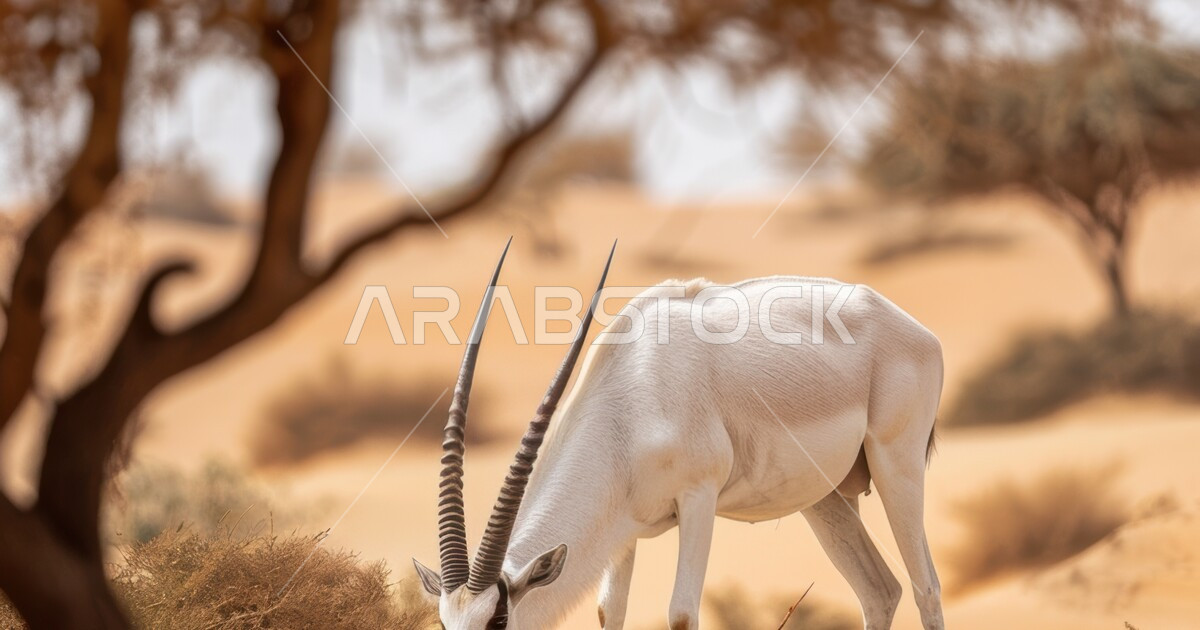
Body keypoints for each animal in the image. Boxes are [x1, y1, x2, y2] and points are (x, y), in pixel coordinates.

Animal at [413, 240, 944, 630]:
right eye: (443, 623)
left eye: (498, 620)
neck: (633, 391)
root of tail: (912, 329)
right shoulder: (623, 531)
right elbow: (610, 611)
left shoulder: (698, 499)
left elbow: (683, 613)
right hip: (825, 499)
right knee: (880, 590)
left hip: (896, 467)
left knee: (926, 588)